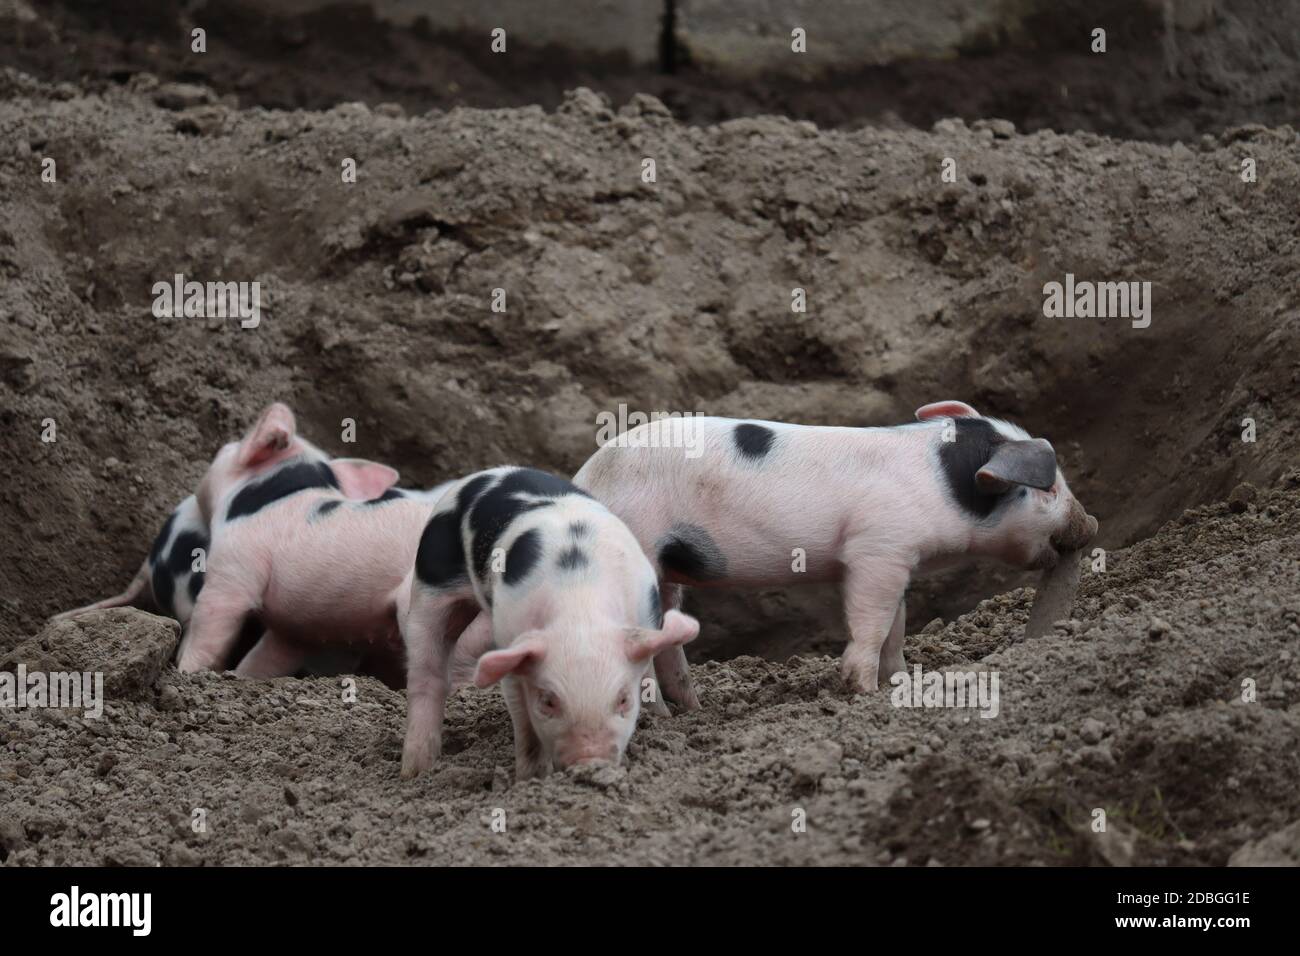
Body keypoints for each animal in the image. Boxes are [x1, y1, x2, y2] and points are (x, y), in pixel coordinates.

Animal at [398, 466, 700, 780]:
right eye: (548, 701)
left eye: (623, 700)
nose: (589, 763)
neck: (580, 607)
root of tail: (490, 472)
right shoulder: (510, 639)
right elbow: (524, 720)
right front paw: (532, 778)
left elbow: (648, 679)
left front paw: (661, 719)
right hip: (429, 584)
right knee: (427, 674)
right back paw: (416, 770)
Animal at [567, 401, 1098, 700]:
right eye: (1049, 489)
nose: (1089, 524)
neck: (941, 482)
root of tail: (583, 479)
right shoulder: (876, 547)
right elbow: (873, 621)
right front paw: (861, 691)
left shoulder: (896, 555)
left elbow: (897, 625)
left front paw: (897, 682)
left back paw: (692, 712)